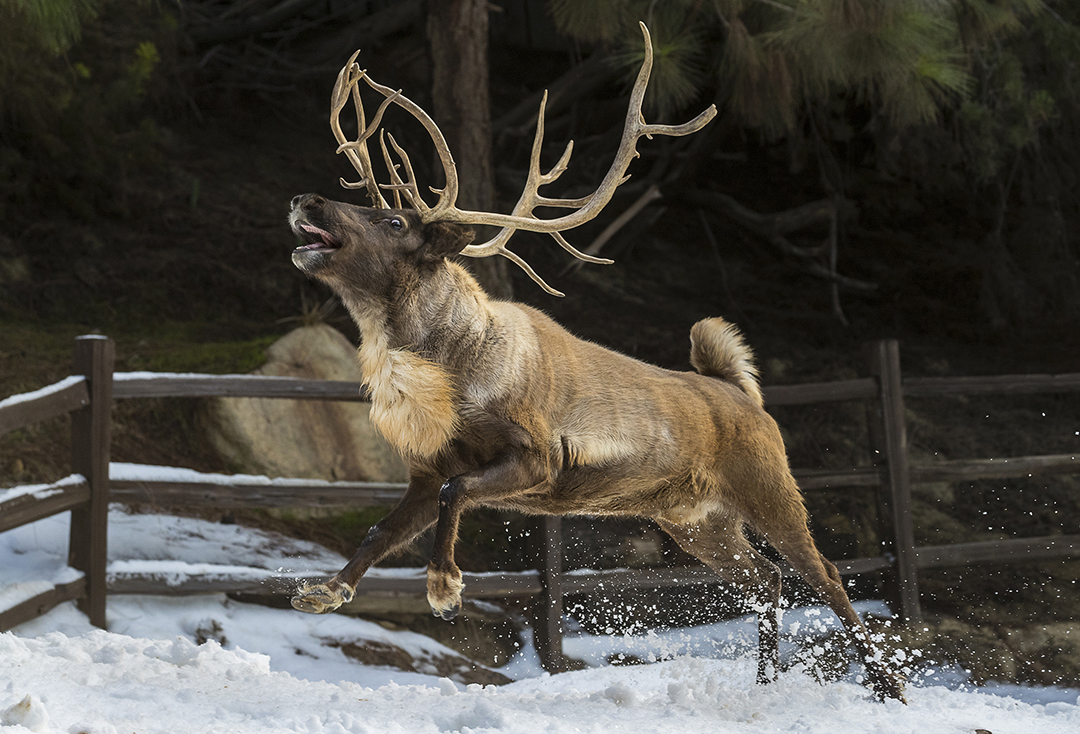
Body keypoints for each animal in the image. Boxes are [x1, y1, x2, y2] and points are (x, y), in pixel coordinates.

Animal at [286, 23, 905, 703]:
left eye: (394, 219)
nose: (305, 199)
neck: (448, 367)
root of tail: (745, 394)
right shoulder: (426, 470)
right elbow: (383, 529)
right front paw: (325, 590)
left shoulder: (537, 458)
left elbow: (457, 494)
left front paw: (445, 587)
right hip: (696, 521)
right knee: (764, 578)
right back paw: (765, 683)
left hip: (769, 489)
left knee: (829, 577)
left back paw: (890, 688)